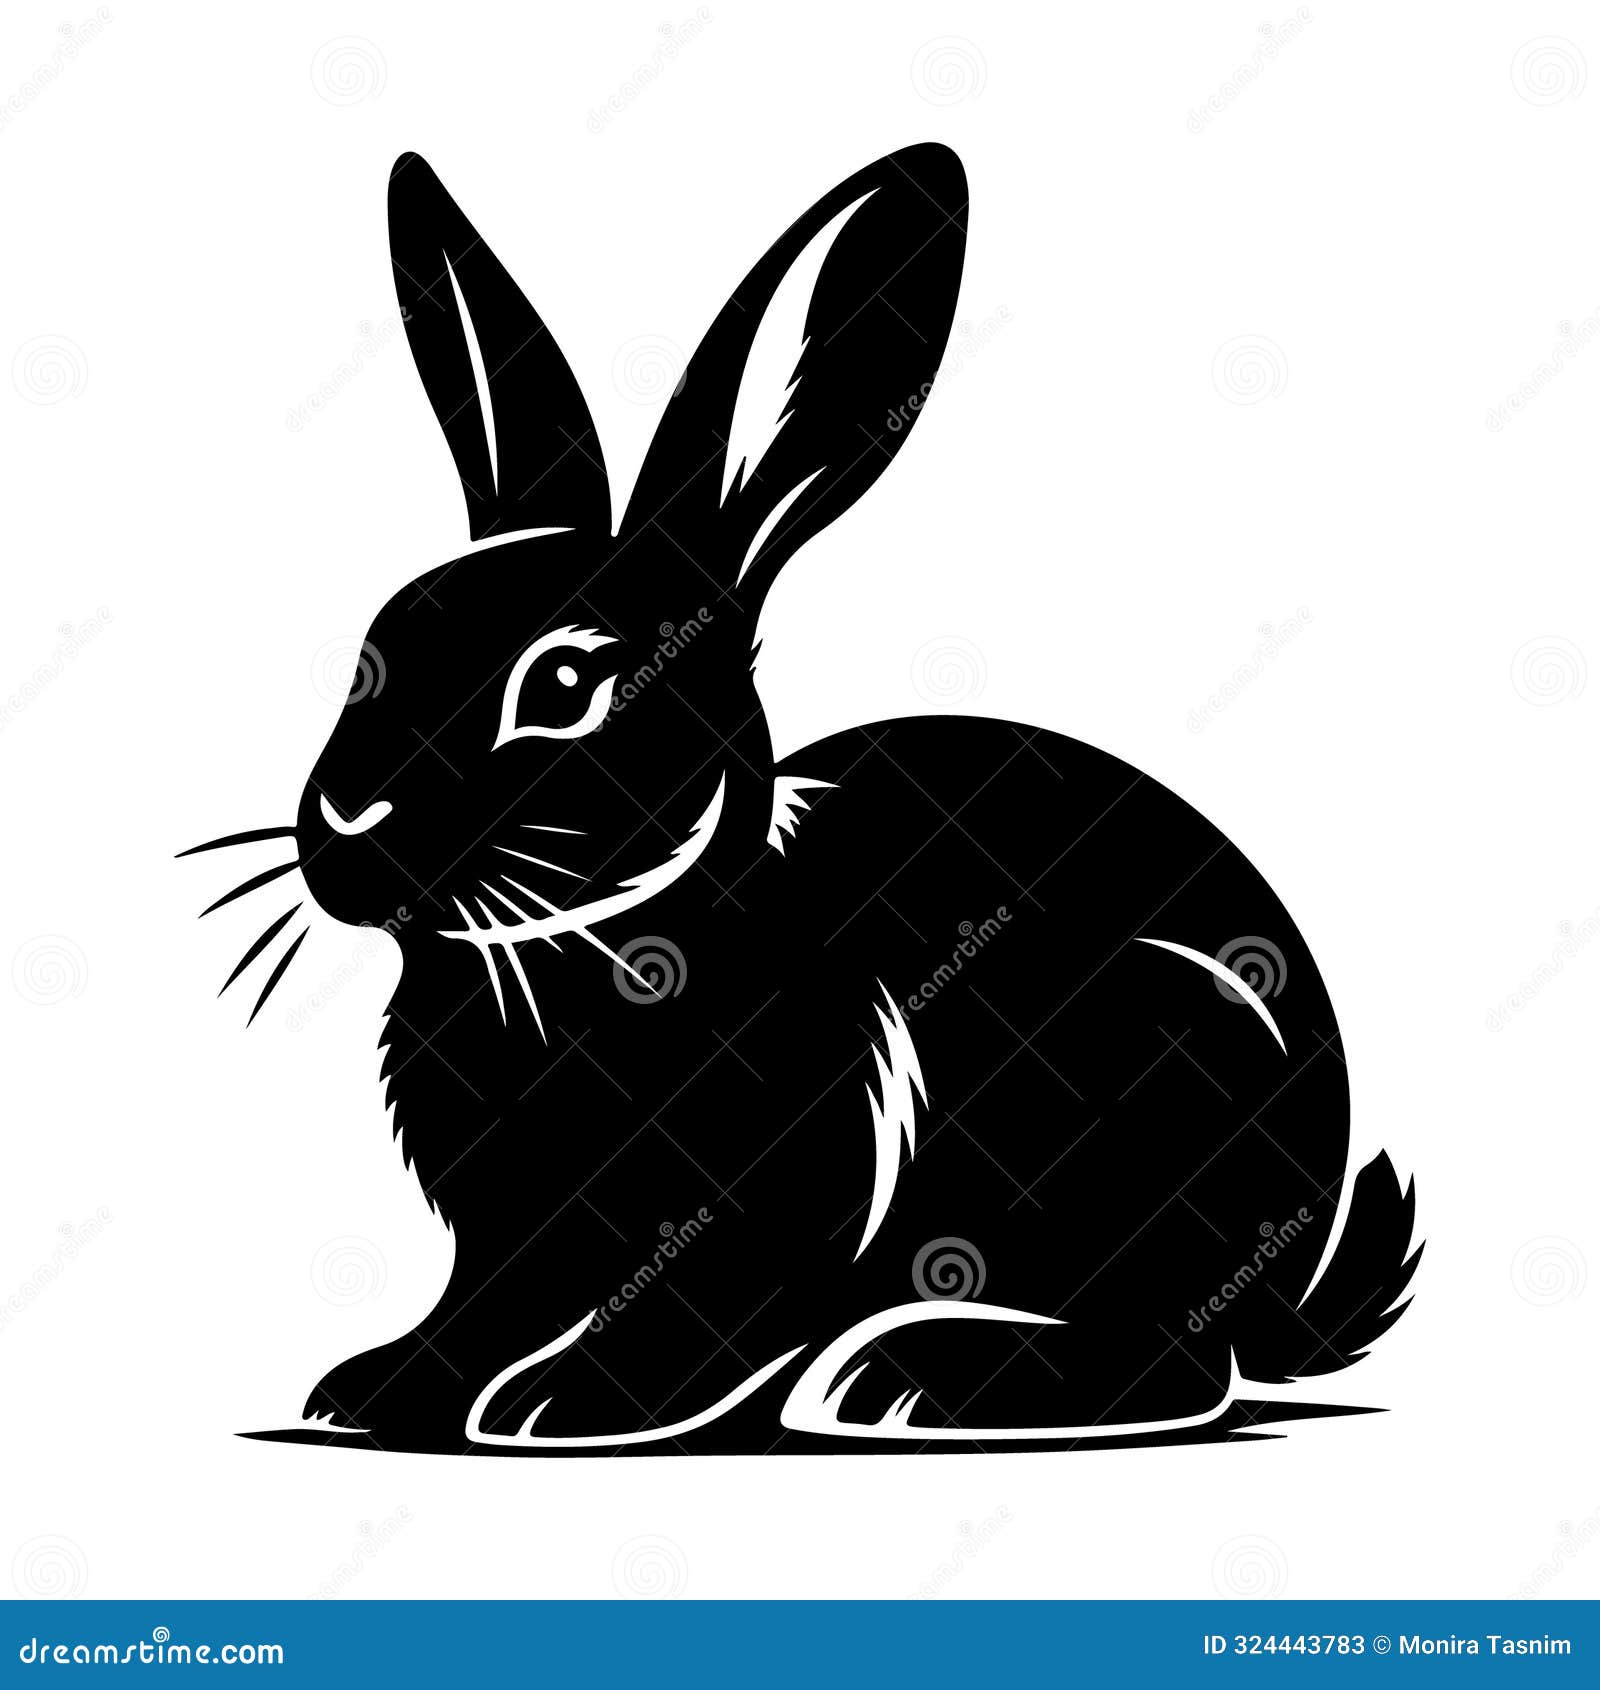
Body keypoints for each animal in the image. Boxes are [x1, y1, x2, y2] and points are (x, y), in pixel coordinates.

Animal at [183, 145, 1420, 1452]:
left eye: (563, 685)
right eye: (370, 653)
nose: (346, 833)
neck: (591, 943)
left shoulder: (790, 1174)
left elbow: (711, 1292)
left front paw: (567, 1403)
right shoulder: (509, 1238)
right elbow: (484, 1298)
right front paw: (381, 1388)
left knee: (1175, 1355)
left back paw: (901, 1379)